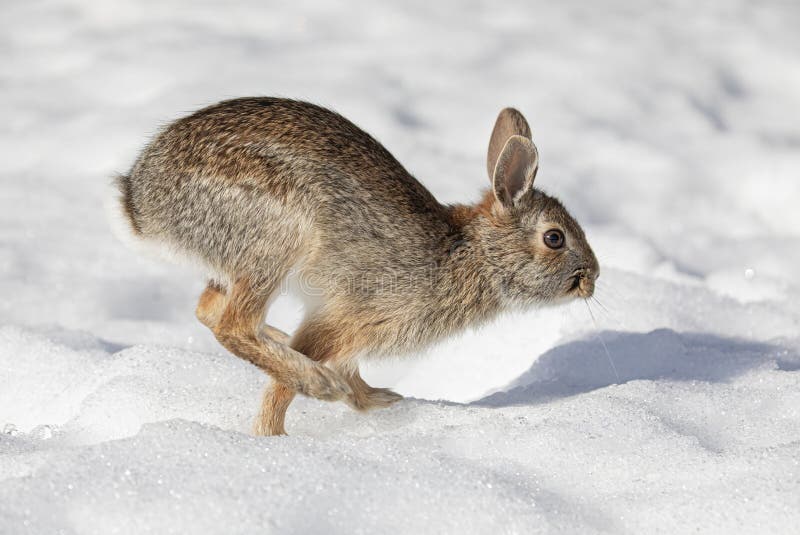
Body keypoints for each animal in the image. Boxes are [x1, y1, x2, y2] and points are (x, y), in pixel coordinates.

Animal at [115, 97, 598, 435]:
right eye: (555, 238)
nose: (592, 279)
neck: (473, 253)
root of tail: (140, 201)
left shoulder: (353, 333)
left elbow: (354, 373)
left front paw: (385, 401)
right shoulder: (352, 316)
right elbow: (284, 388)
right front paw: (272, 437)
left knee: (209, 310)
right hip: (277, 237)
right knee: (233, 326)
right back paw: (317, 382)